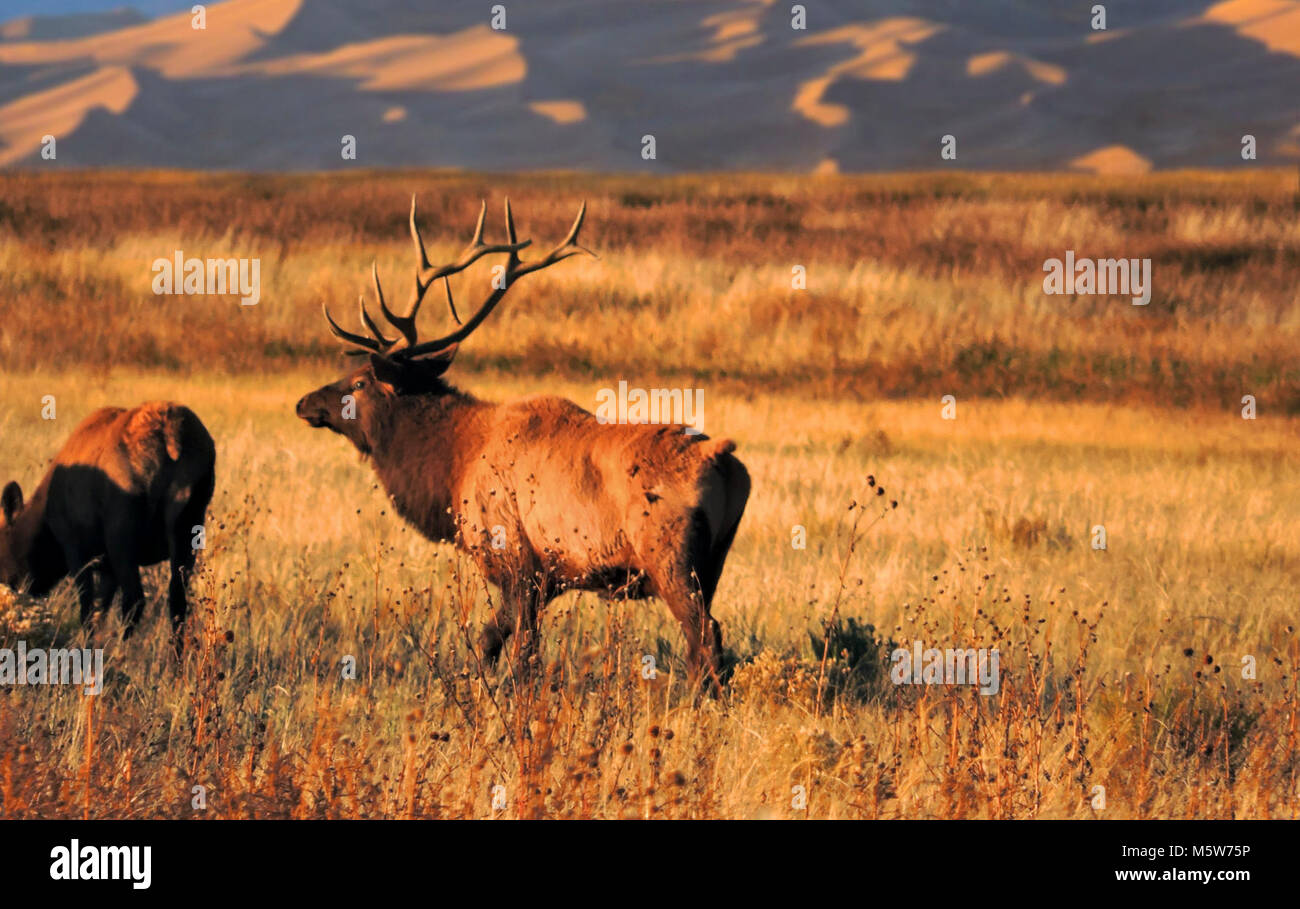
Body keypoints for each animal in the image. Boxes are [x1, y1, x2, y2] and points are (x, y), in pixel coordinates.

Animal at [0, 402, 216, 648]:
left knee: (134, 599)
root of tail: (172, 438)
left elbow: (86, 608)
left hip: (121, 530)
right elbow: (99, 610)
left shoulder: (75, 548)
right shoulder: (106, 566)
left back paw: (122, 652)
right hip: (189, 524)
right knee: (177, 603)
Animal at [296, 197, 750, 692]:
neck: (453, 468)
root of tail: (723, 459)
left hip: (670, 555)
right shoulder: (544, 578)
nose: (304, 403)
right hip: (717, 558)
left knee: (703, 633)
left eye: (359, 382)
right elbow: (490, 640)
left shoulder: (515, 557)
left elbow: (520, 652)